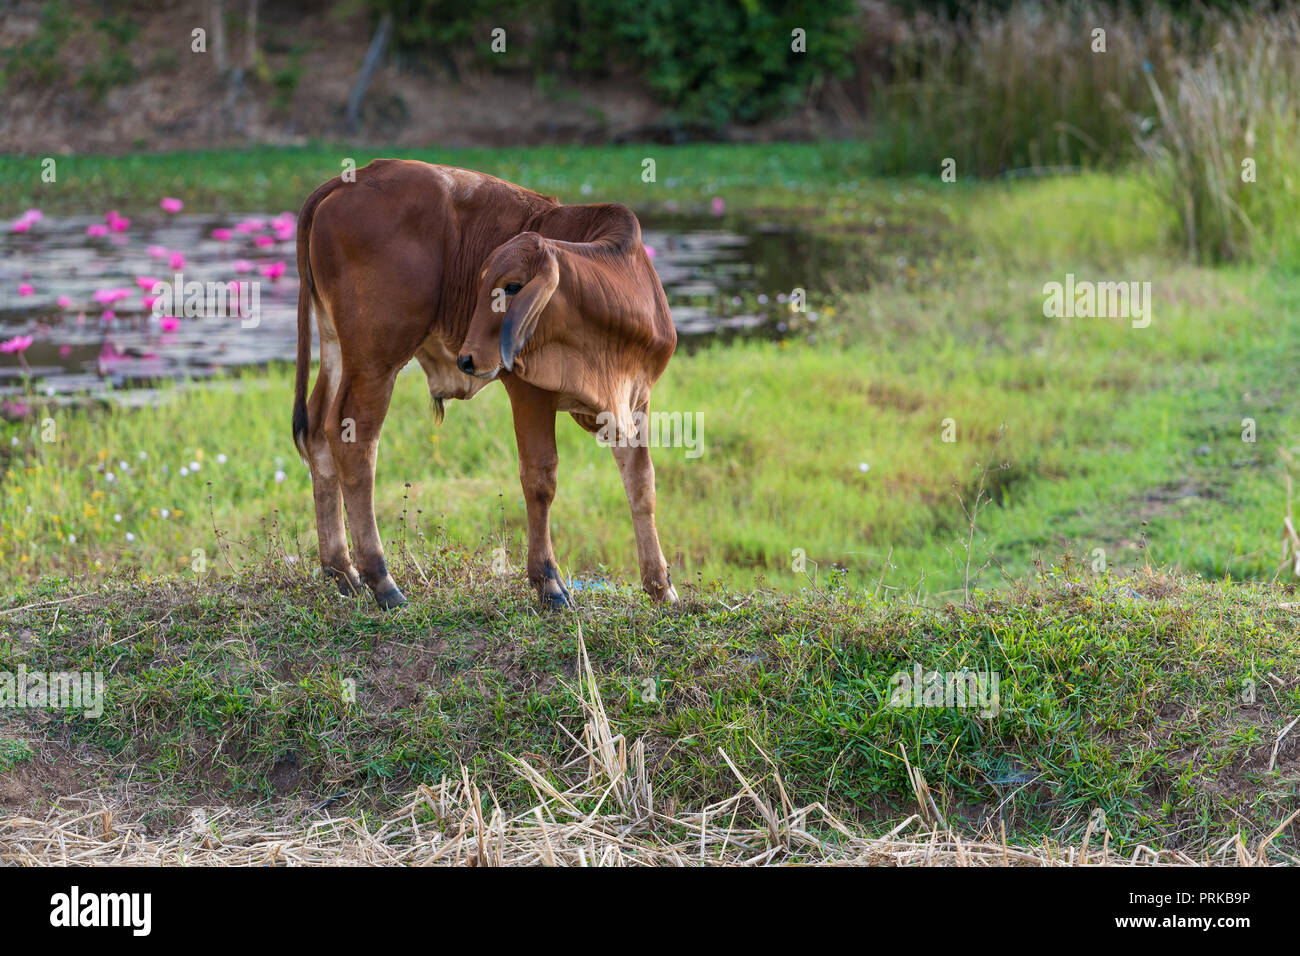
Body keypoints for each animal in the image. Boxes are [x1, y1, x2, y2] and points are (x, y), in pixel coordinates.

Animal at [292, 159, 678, 610]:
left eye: (511, 287)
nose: (467, 358)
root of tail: (348, 180)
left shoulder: (636, 400)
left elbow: (642, 483)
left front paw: (660, 586)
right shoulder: (530, 391)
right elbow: (541, 478)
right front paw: (548, 582)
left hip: (338, 347)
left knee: (318, 430)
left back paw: (341, 570)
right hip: (375, 359)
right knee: (353, 437)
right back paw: (381, 579)